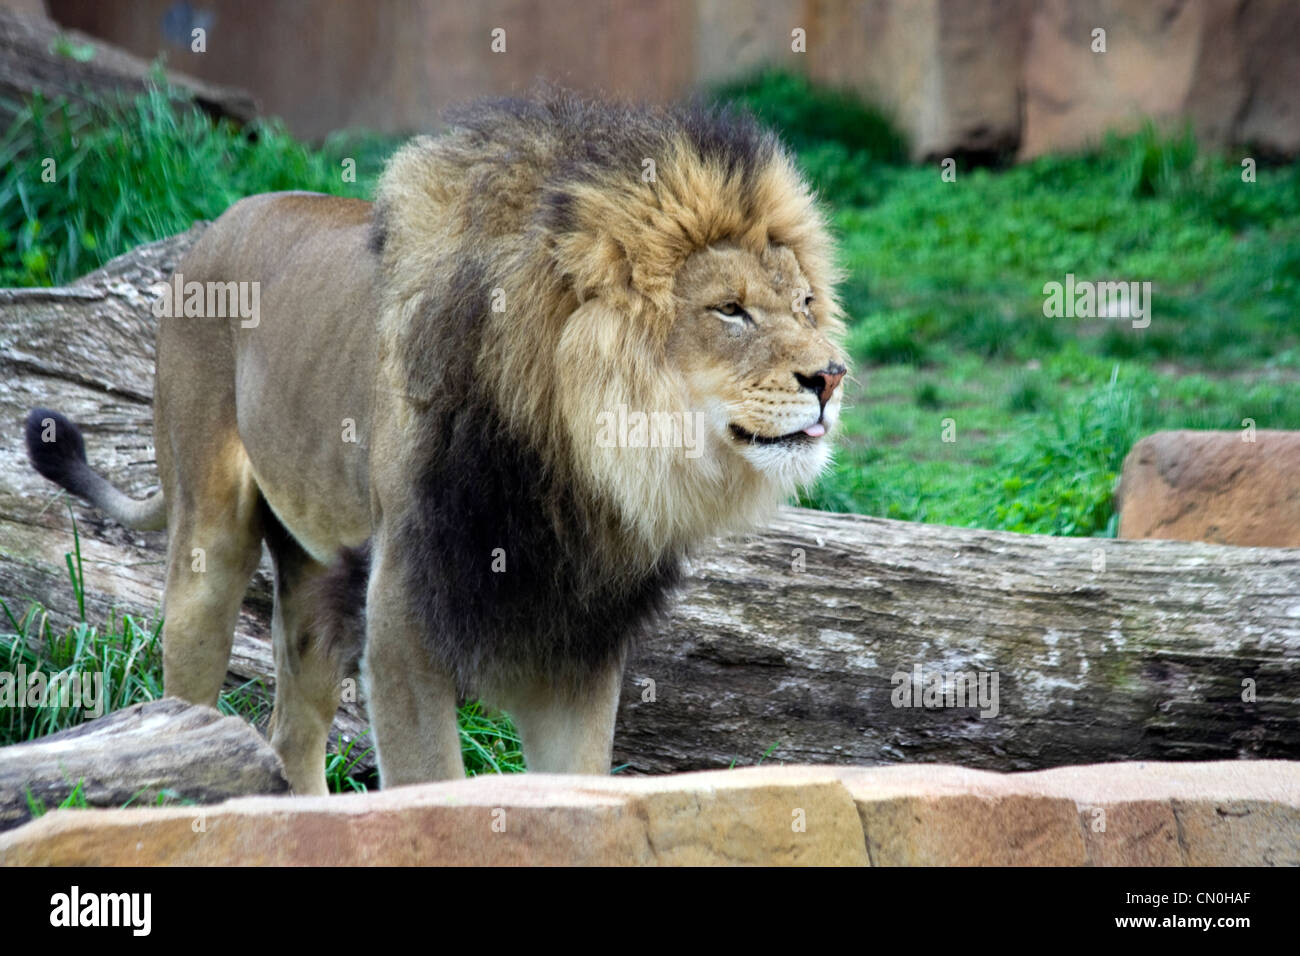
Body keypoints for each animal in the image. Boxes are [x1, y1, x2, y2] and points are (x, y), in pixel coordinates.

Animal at [25, 89, 847, 794]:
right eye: (730, 310)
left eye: (806, 303)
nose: (831, 375)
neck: (573, 464)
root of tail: (211, 230)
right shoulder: (401, 618)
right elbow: (432, 783)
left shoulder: (576, 646)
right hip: (209, 535)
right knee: (189, 720)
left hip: (314, 570)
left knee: (292, 735)